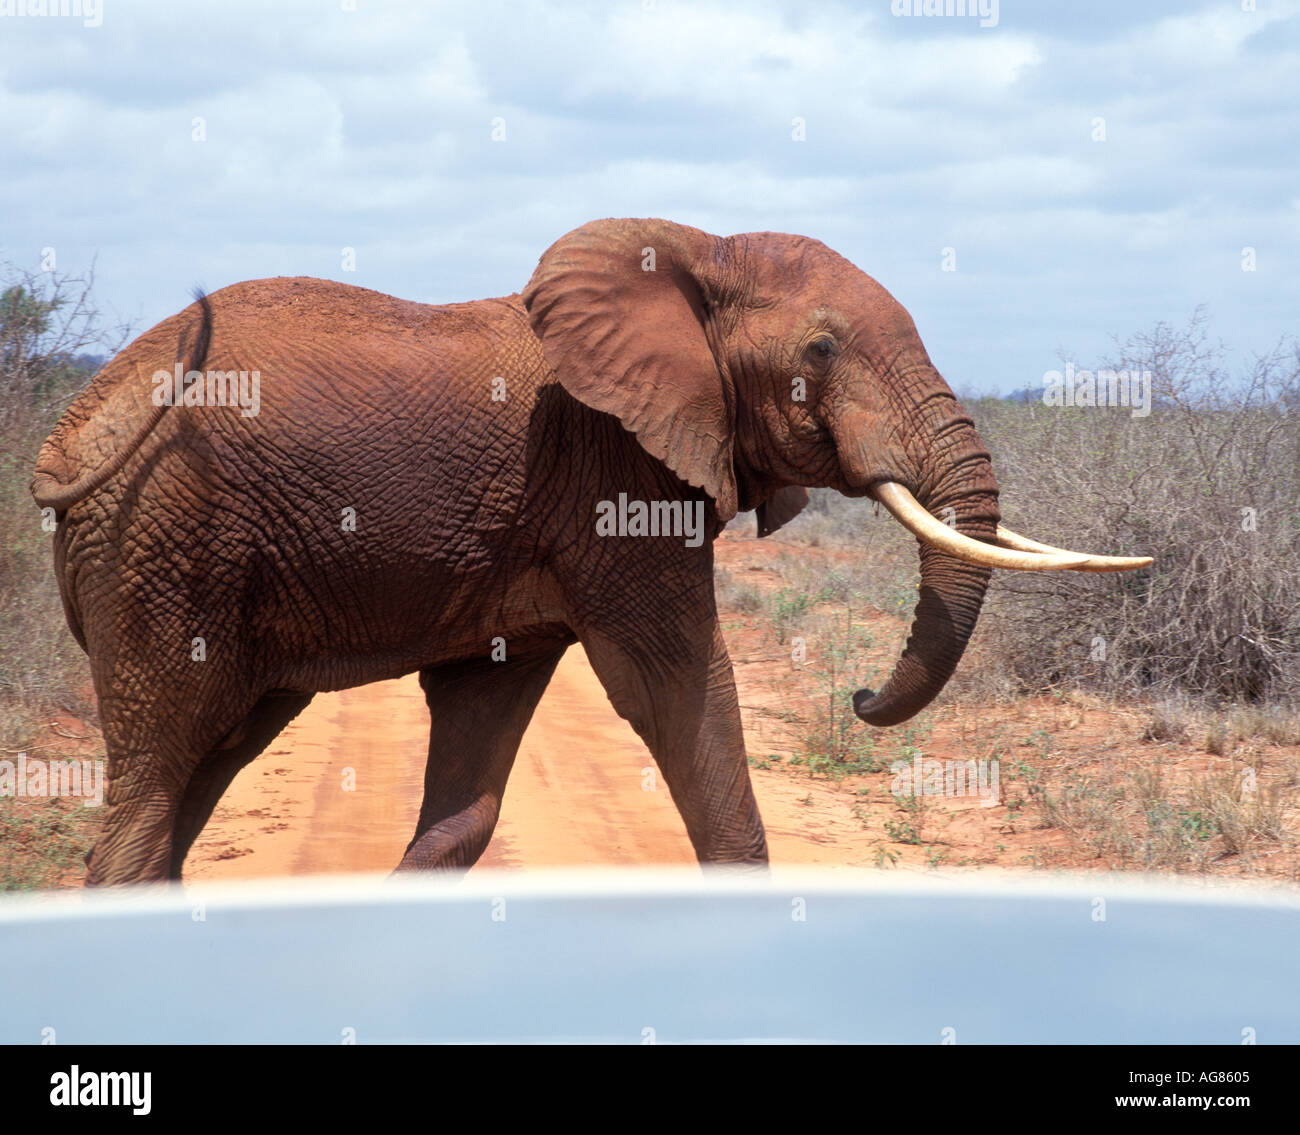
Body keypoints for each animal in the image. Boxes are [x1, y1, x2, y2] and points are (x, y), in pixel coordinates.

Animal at [31, 218, 1149, 885]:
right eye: (822, 352)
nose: (862, 696)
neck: (700, 250)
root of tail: (68, 434)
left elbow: (475, 769)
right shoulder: (616, 471)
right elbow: (675, 682)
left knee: (206, 755)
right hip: (161, 545)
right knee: (159, 762)